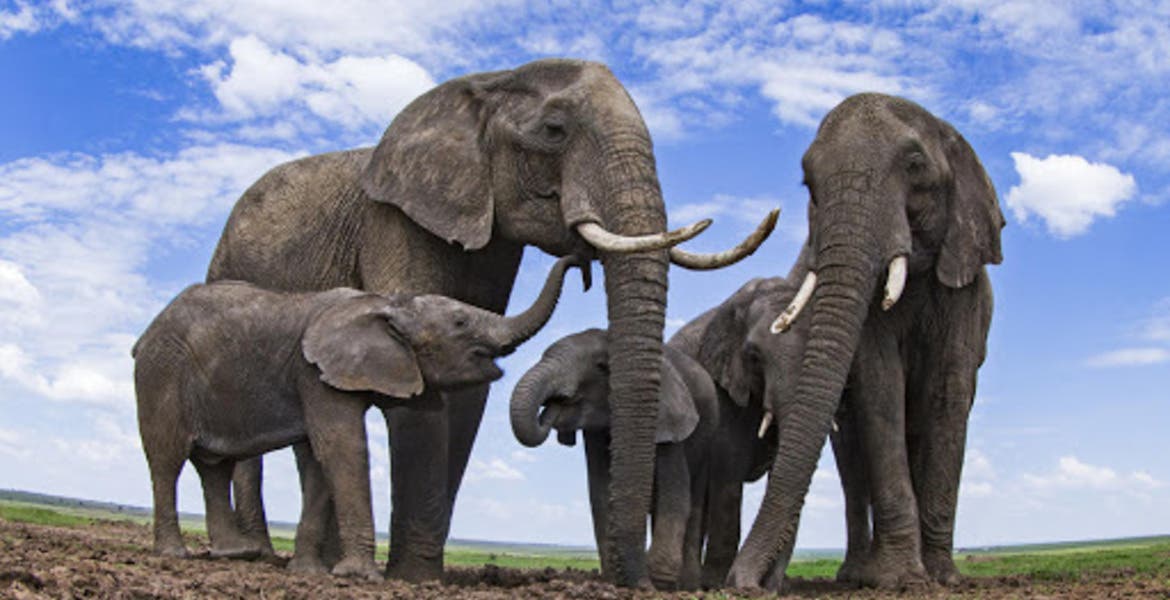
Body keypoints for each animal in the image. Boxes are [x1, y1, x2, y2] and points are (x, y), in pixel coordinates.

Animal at [133, 256, 583, 579]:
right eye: (460, 321)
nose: (579, 265)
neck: (387, 303)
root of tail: (146, 334)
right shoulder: (314, 373)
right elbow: (342, 447)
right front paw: (360, 576)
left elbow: (318, 460)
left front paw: (310, 574)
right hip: (161, 372)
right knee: (166, 459)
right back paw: (174, 552)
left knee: (215, 465)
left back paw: (235, 554)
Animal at [509, 328, 718, 590]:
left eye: (601, 367)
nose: (553, 406)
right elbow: (600, 492)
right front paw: (614, 579)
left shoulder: (669, 418)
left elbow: (676, 493)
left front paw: (658, 582)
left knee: (694, 499)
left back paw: (687, 587)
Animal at [727, 93, 1004, 591]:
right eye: (808, 183)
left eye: (915, 164)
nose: (743, 584)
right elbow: (881, 387)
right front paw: (900, 580)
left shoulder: (965, 285)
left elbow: (948, 393)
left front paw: (943, 578)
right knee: (852, 463)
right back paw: (856, 575)